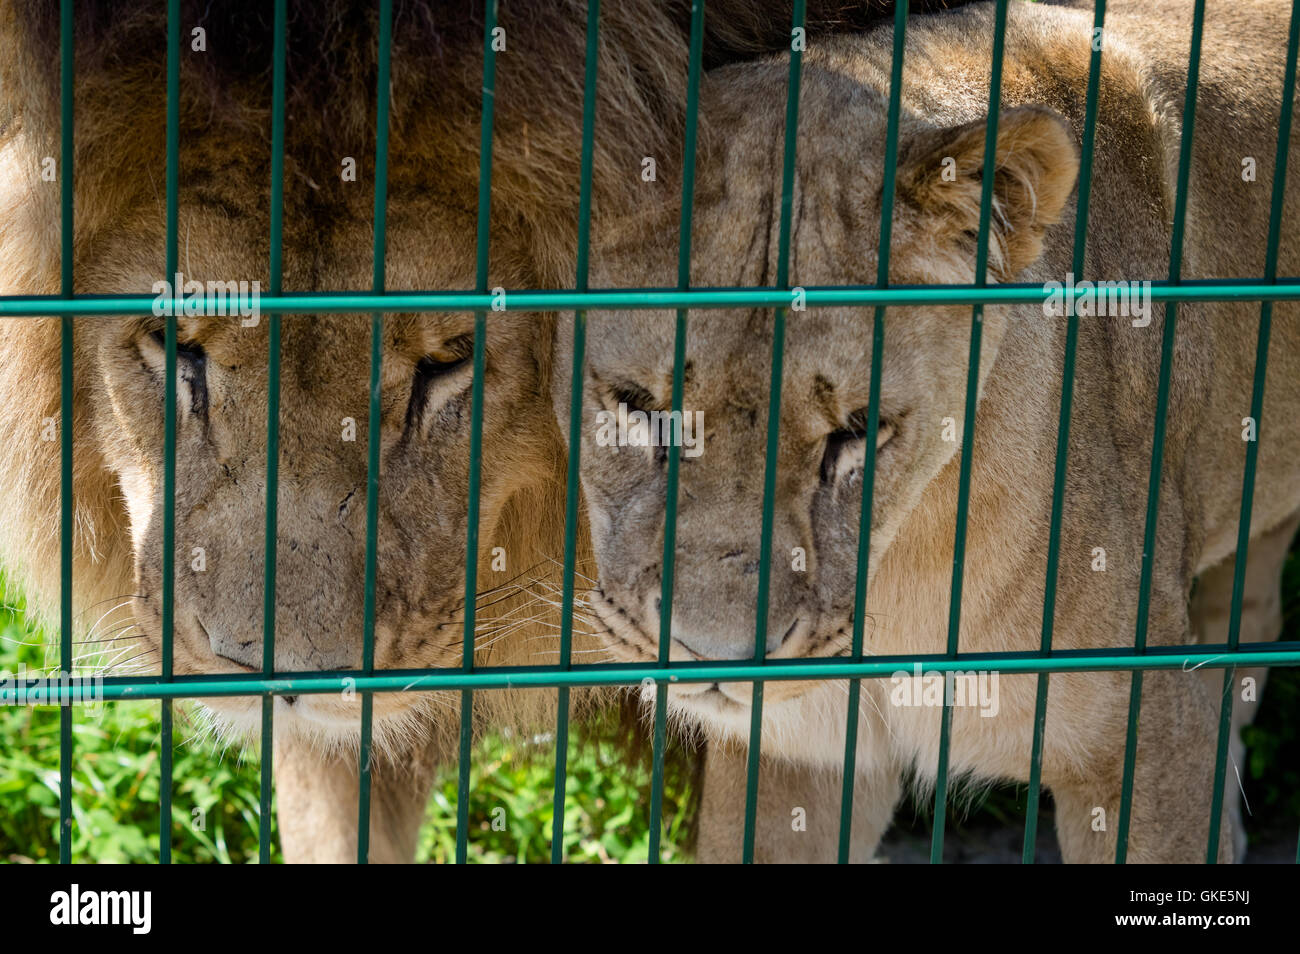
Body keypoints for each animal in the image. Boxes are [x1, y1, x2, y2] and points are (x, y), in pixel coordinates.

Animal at [557, 0, 1300, 863]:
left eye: (857, 430)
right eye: (636, 403)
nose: (714, 660)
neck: (899, 566)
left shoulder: (1140, 746)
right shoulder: (797, 759)